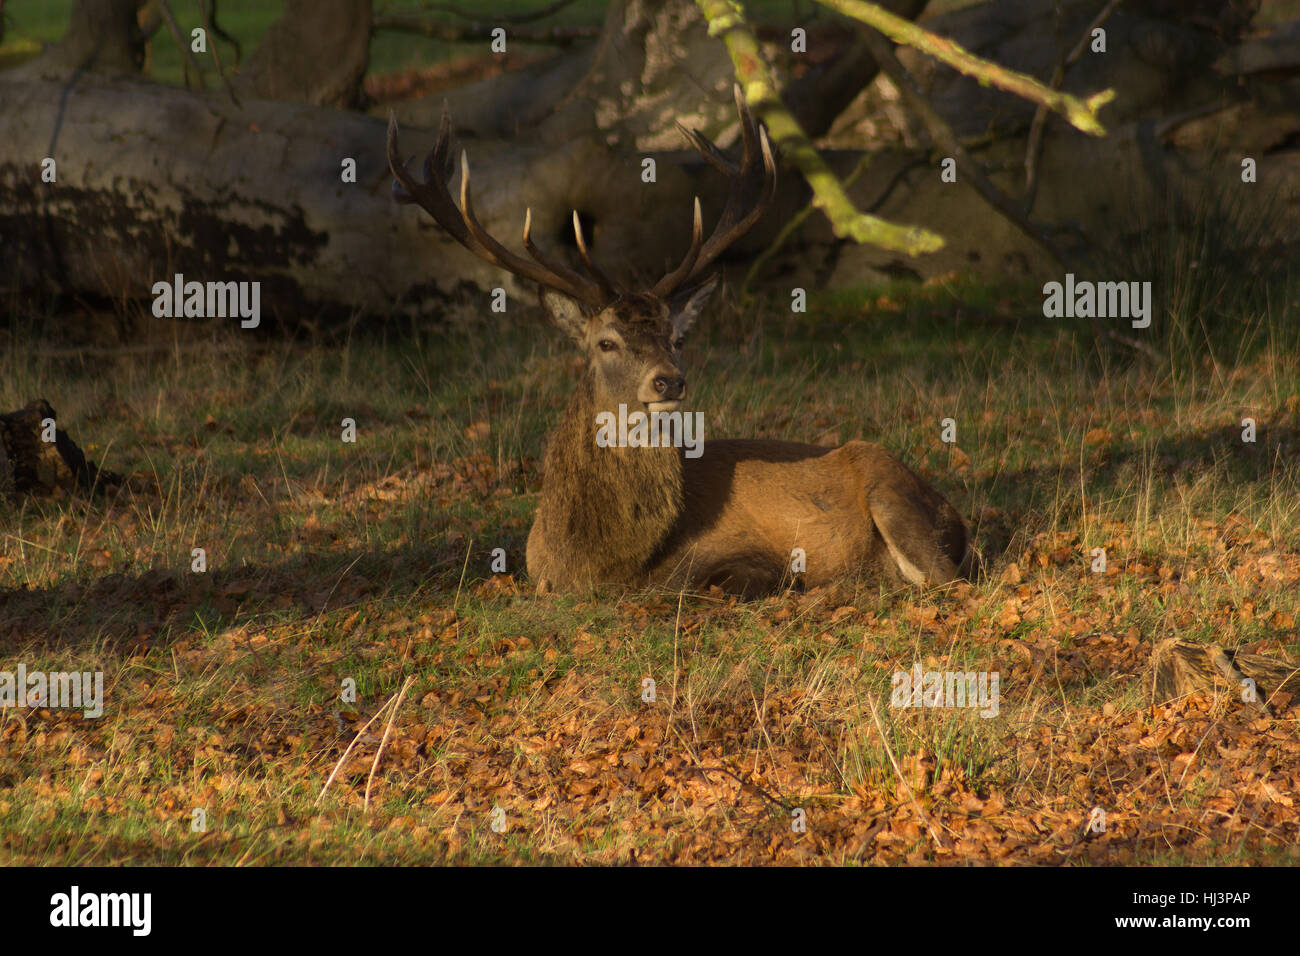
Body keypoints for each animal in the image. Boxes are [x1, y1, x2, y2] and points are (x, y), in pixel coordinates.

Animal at [387, 88, 969, 597]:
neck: (600, 564)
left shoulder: (745, 556)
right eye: (606, 342)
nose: (669, 380)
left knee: (947, 579)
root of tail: (953, 512)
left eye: (678, 337)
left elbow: (711, 584)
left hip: (892, 495)